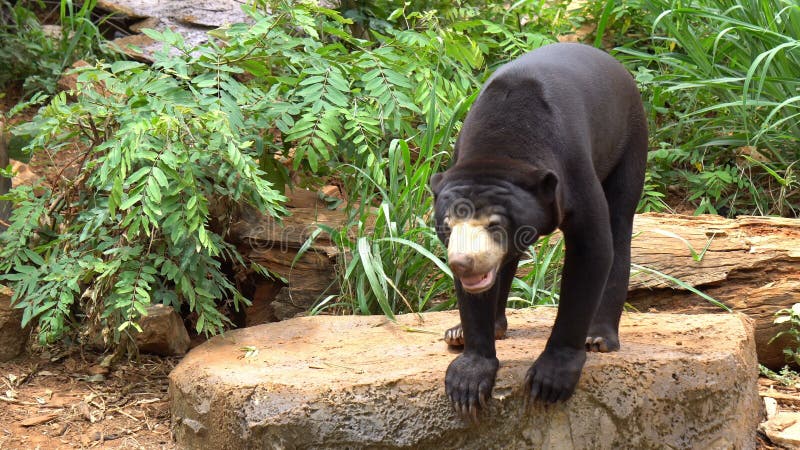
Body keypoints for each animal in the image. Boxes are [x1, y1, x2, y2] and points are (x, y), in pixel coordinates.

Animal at [430, 42, 647, 420]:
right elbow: (474, 292)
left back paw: (599, 338)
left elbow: (591, 251)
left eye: (495, 224)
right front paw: (467, 381)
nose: (463, 262)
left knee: (620, 225)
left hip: (630, 139)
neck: (502, 148)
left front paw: (550, 381)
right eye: (447, 227)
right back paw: (467, 331)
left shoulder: (573, 168)